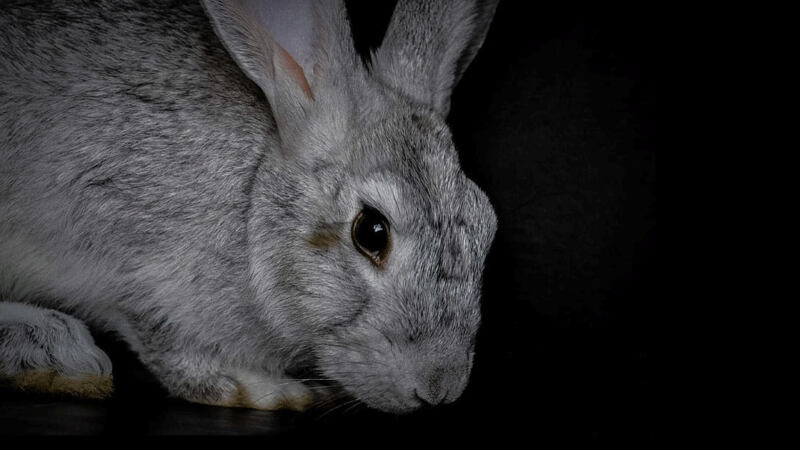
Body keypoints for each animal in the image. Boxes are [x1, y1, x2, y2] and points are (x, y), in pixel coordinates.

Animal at [0, 0, 498, 414]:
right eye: (371, 231)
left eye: (488, 226)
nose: (439, 387)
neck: (251, 202)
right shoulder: (129, 260)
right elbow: (174, 351)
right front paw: (273, 390)